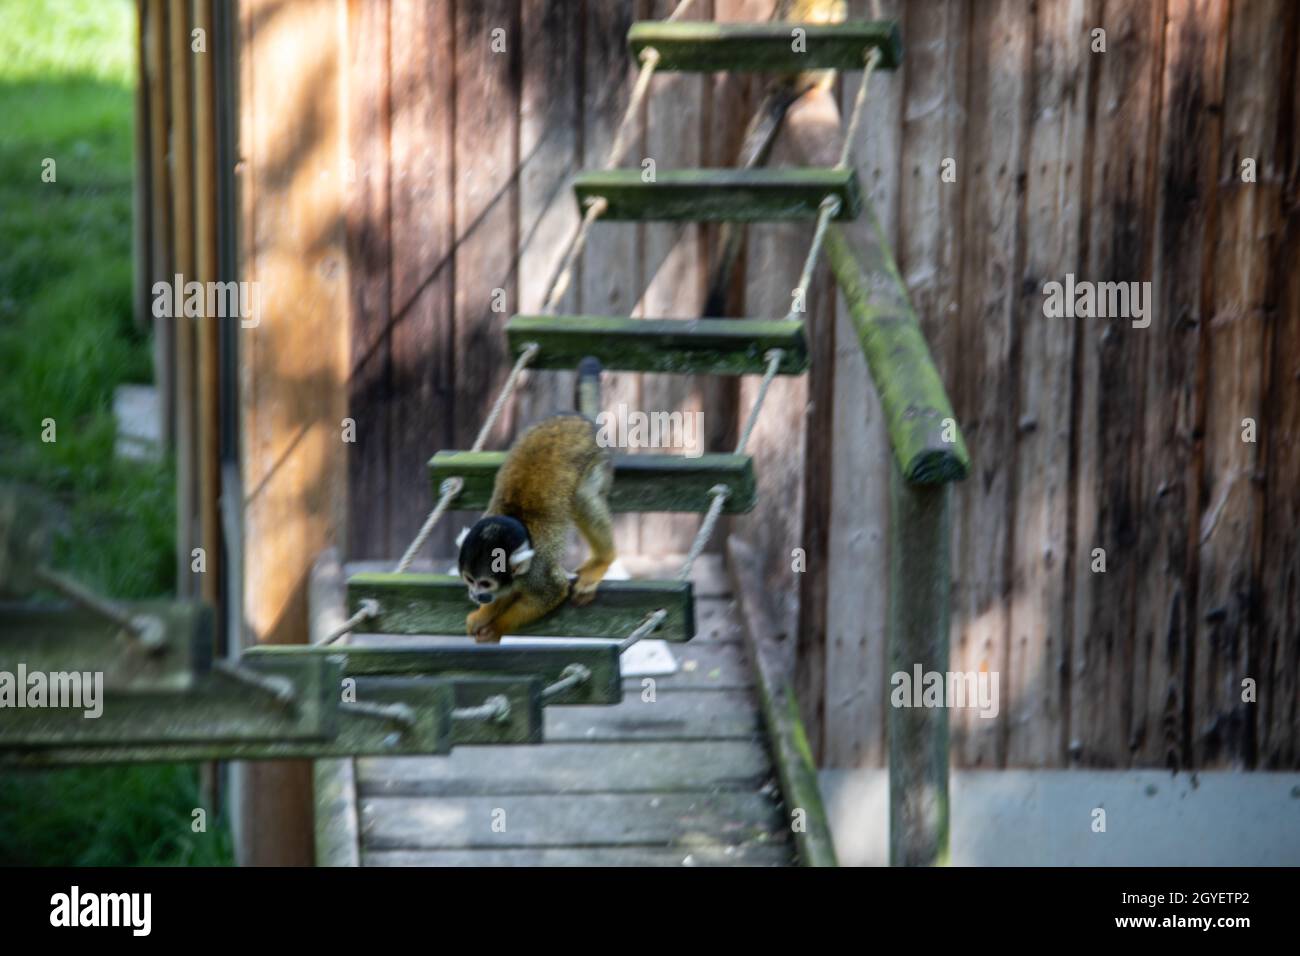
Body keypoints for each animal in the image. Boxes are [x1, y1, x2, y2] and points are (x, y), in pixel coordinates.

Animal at [456, 357, 615, 643]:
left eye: (485, 583)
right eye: (469, 580)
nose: (476, 595)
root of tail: (581, 420)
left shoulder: (537, 570)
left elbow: (551, 592)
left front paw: (496, 626)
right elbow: (507, 594)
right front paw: (484, 614)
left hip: (598, 461)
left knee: (582, 497)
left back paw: (603, 561)